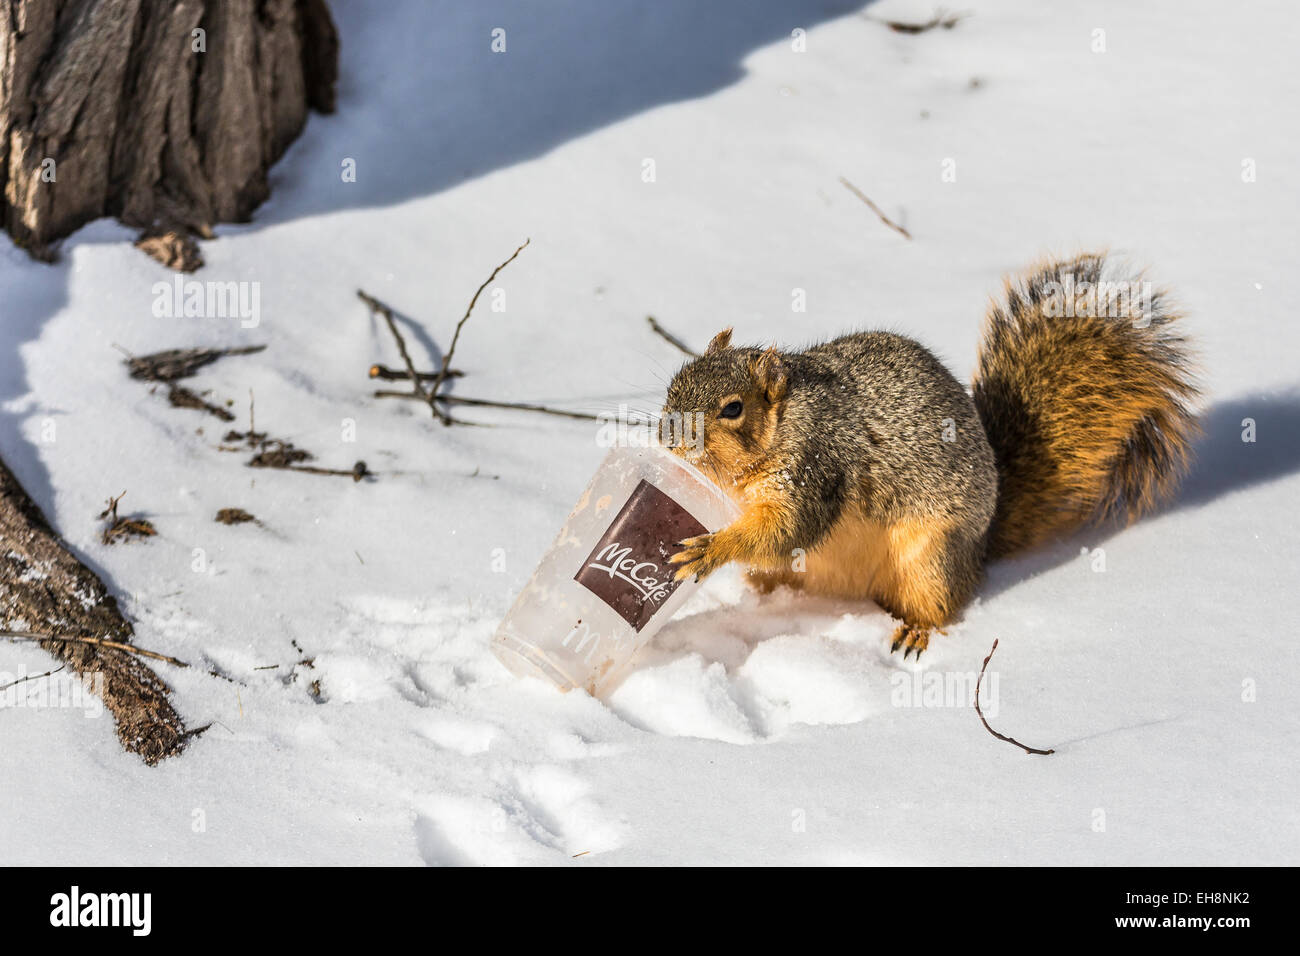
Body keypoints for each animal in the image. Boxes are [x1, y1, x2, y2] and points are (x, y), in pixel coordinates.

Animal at [662, 253, 1200, 657]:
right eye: (676, 380)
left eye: (733, 408)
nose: (670, 435)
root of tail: (981, 546)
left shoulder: (817, 469)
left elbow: (786, 530)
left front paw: (710, 549)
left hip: (932, 559)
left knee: (938, 606)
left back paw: (915, 633)